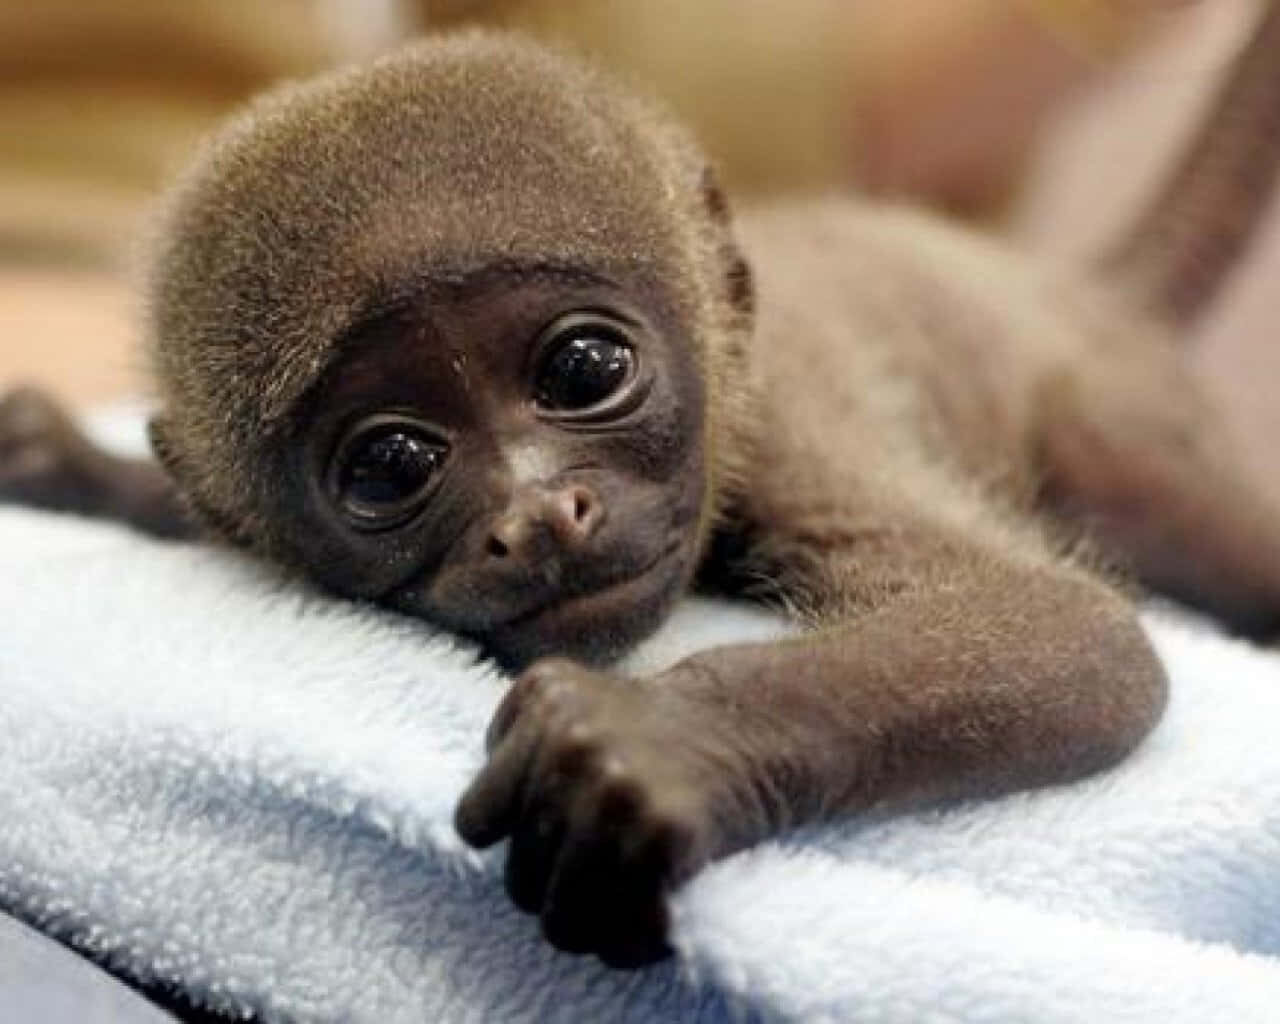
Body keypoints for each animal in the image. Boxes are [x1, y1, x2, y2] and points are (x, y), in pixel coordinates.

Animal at [3, 6, 1280, 969]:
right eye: (391, 465)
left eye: (584, 369)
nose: (535, 517)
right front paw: (87, 467)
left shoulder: (784, 426)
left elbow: (1069, 626)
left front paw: (652, 742)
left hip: (1119, 408)